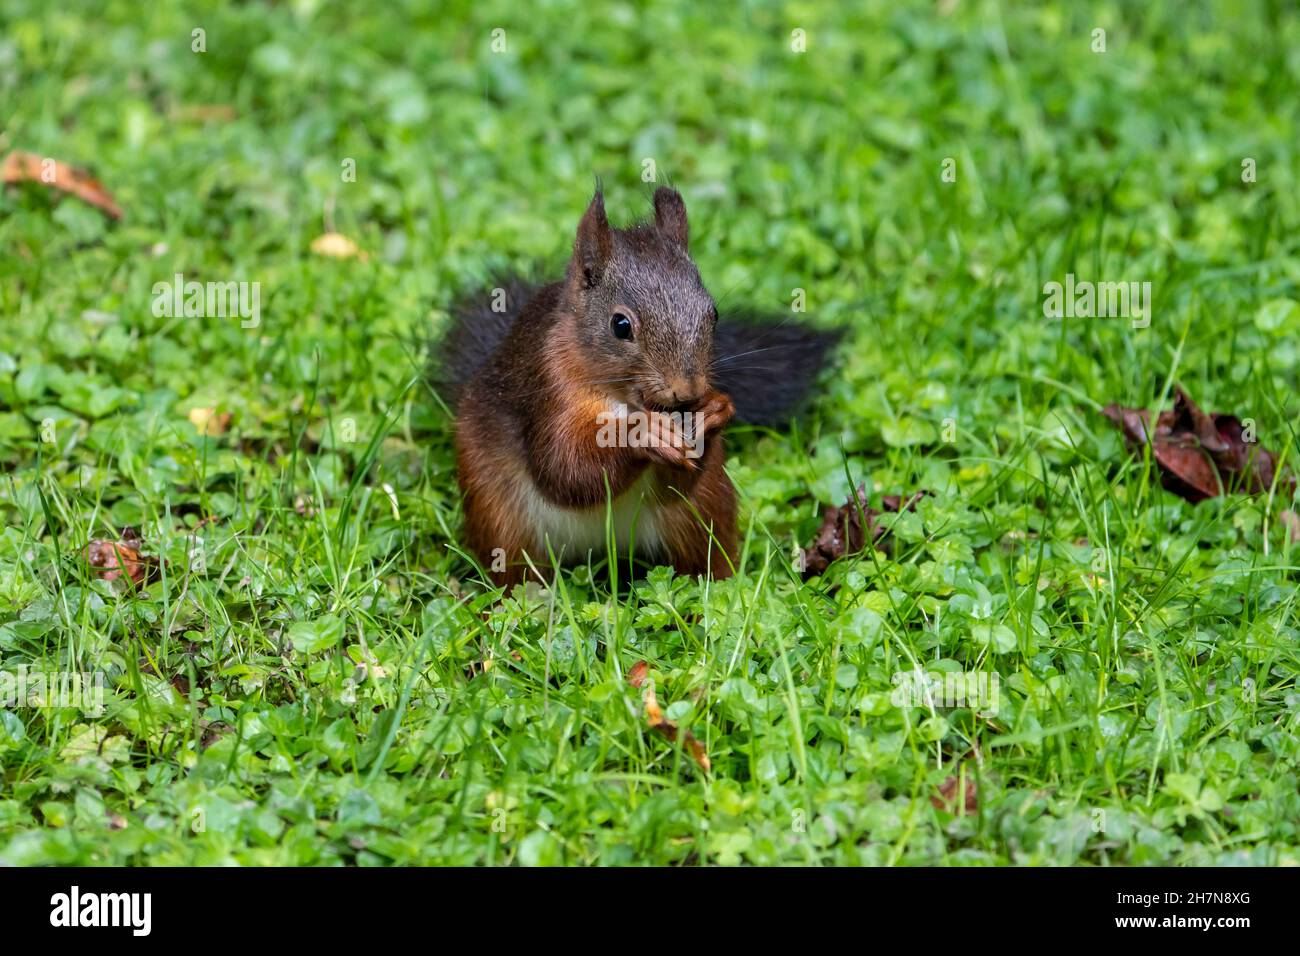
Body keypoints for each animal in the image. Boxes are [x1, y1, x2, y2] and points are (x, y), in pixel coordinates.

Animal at [433, 186, 840, 588]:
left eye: (713, 314)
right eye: (620, 325)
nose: (687, 391)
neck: (623, 399)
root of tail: (604, 548)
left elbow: (675, 483)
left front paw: (715, 411)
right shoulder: (546, 388)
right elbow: (564, 469)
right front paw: (643, 434)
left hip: (704, 511)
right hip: (500, 516)